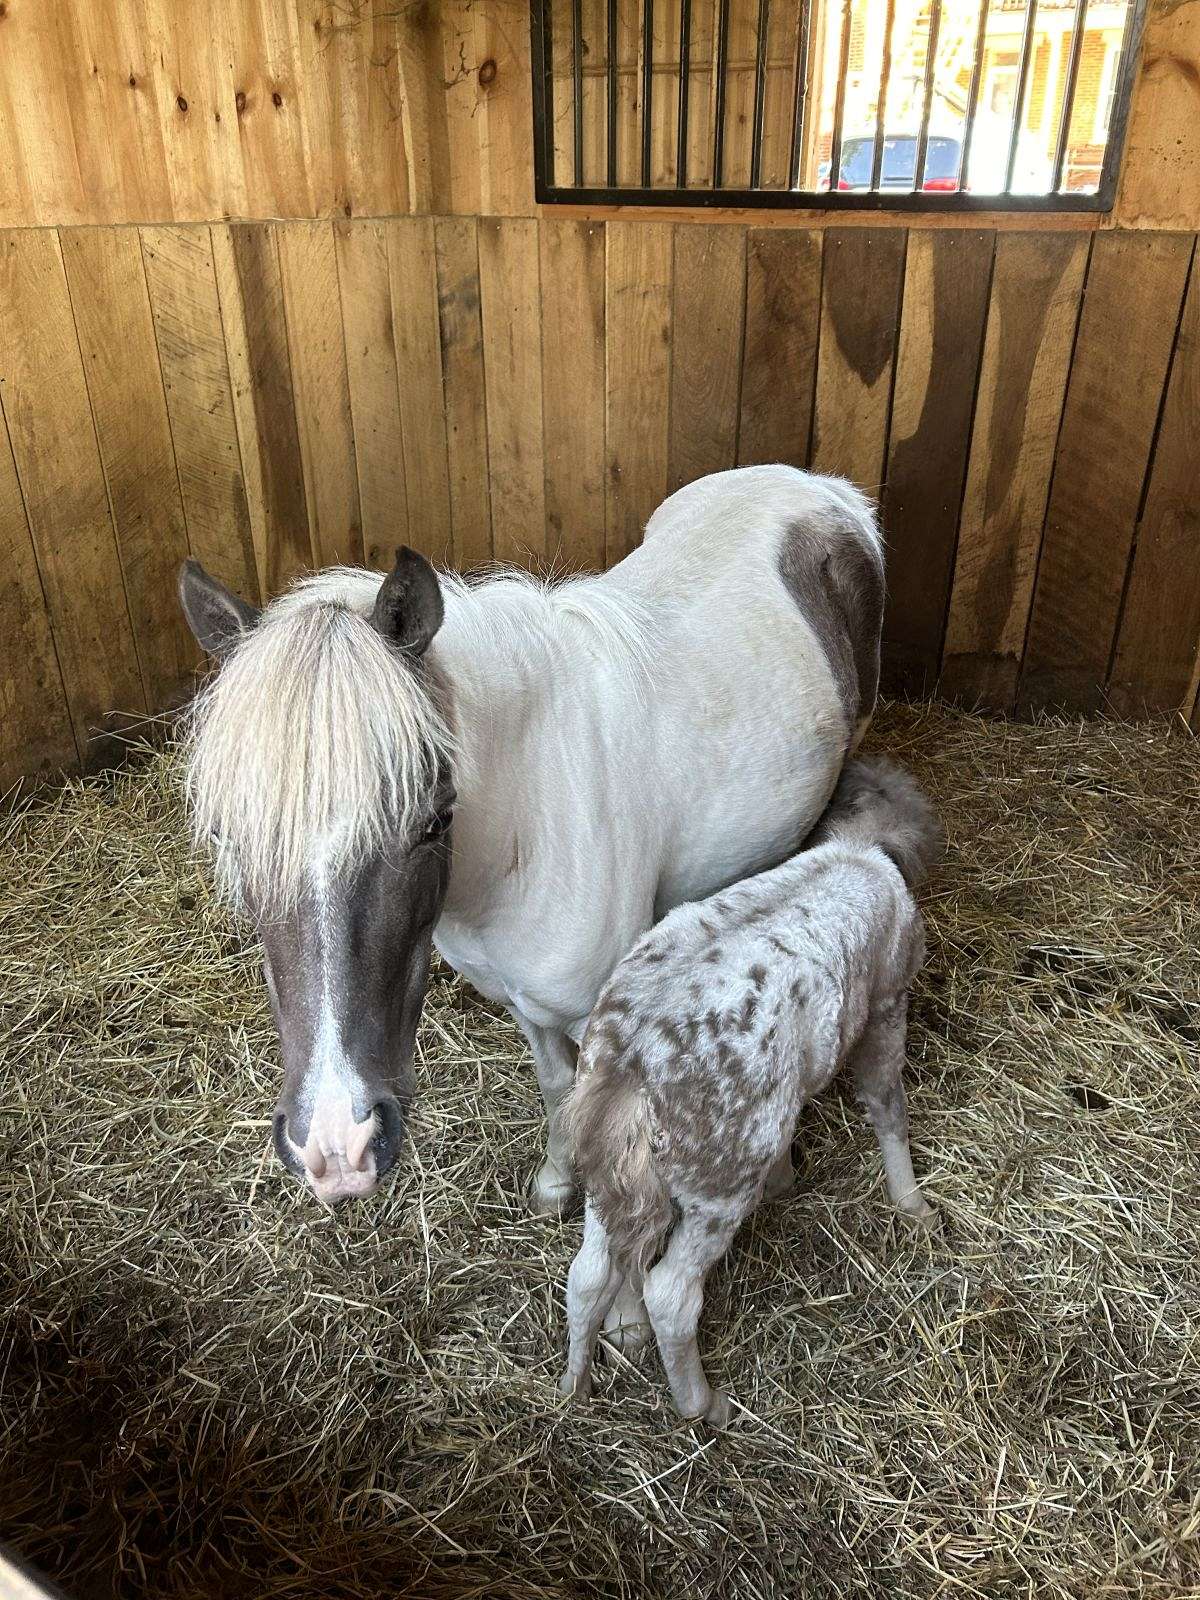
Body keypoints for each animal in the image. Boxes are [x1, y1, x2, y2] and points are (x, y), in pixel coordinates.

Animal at [179, 464, 883, 1339]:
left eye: (432, 817)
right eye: (231, 835)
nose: (337, 1146)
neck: (529, 824)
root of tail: (824, 489)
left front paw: (624, 1319)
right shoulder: (526, 1003)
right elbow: (557, 1093)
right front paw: (554, 1188)